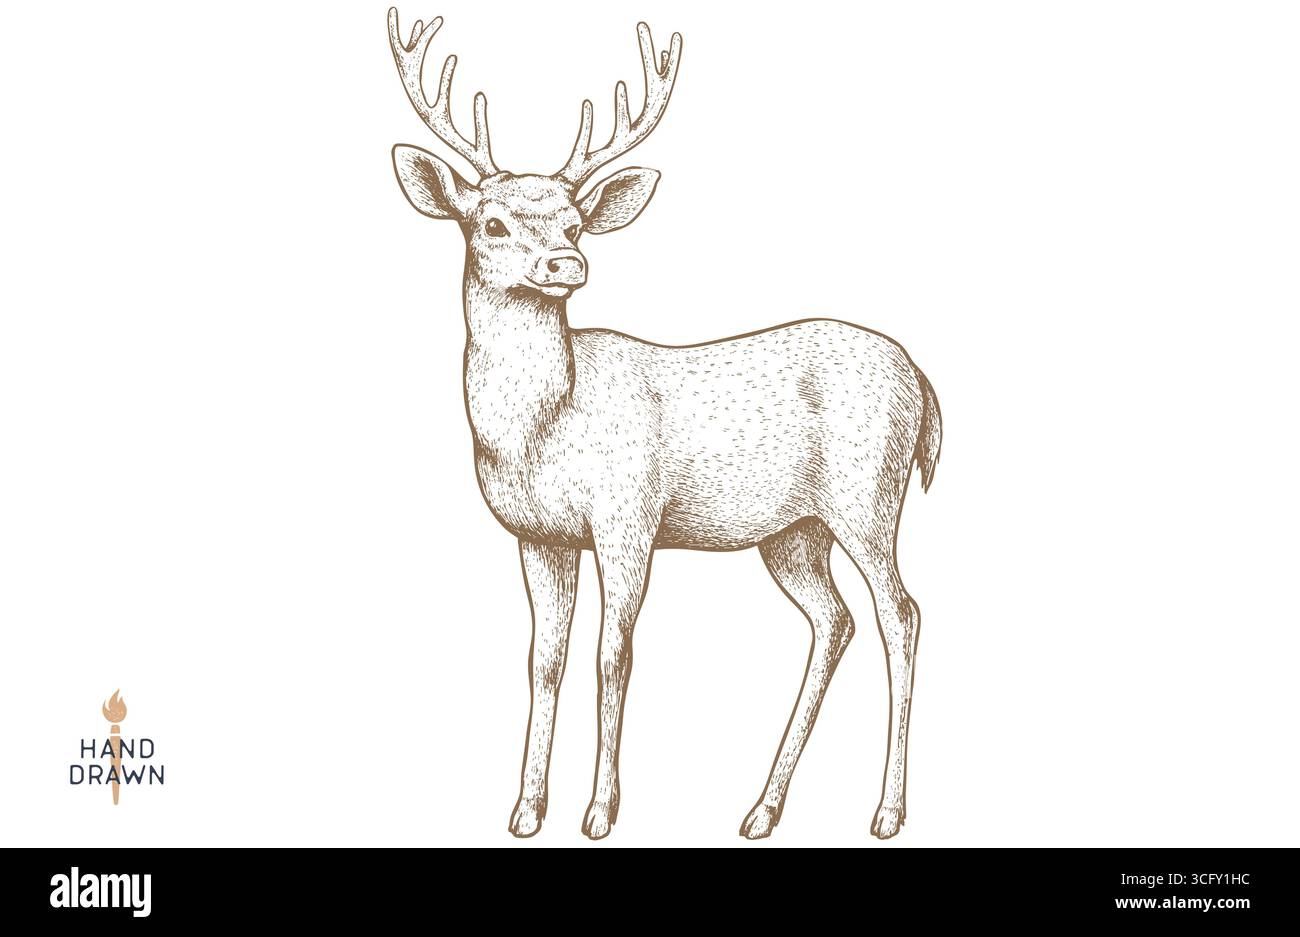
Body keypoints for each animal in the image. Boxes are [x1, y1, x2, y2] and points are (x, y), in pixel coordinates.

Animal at [386, 9, 942, 841]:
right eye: (491, 222)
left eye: (576, 223)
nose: (565, 264)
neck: (545, 429)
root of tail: (923, 381)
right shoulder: (539, 534)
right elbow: (543, 659)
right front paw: (525, 809)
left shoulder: (628, 514)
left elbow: (611, 654)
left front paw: (599, 811)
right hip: (793, 531)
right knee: (833, 620)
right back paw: (761, 808)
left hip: (868, 494)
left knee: (900, 613)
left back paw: (886, 810)